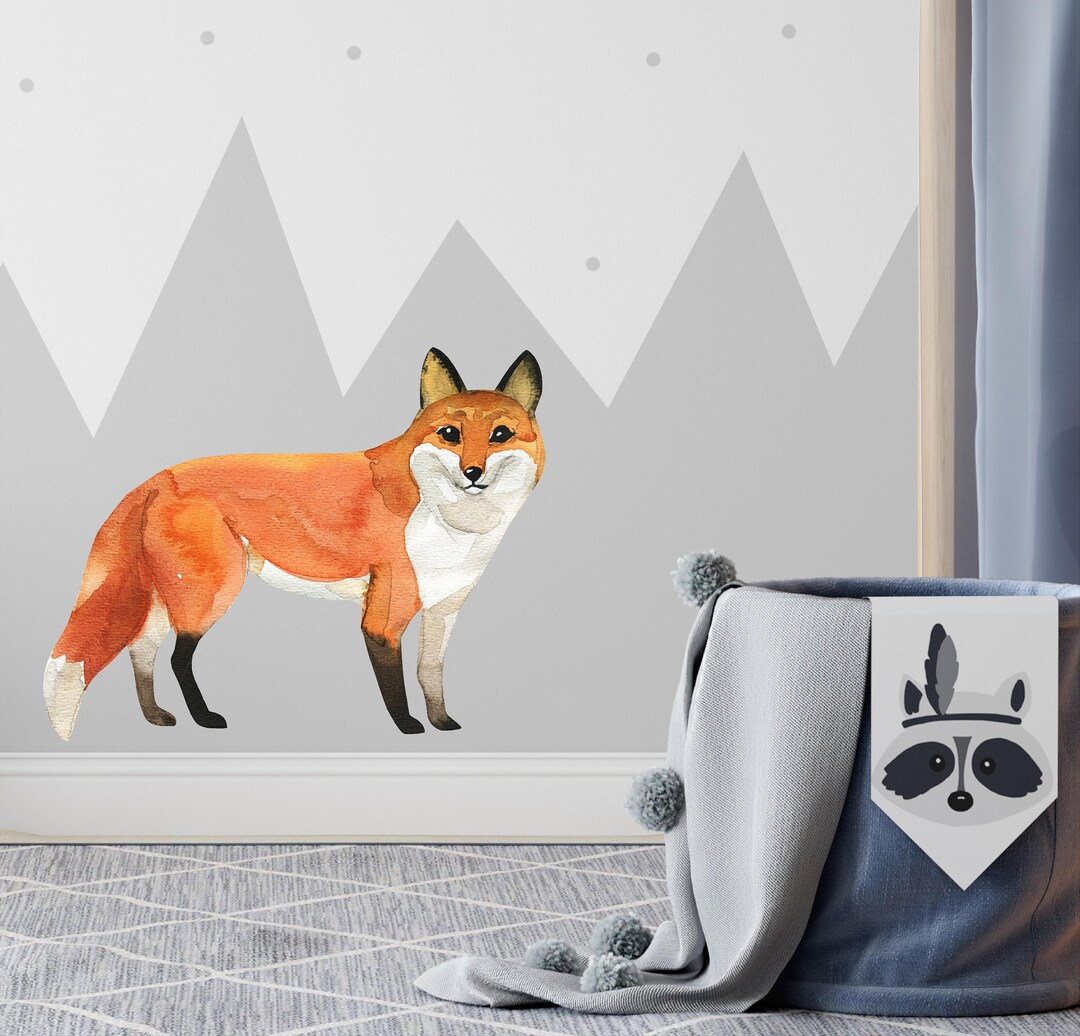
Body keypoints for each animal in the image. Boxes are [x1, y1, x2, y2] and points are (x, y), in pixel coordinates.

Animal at [43, 349, 543, 741]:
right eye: (450, 435)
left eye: (500, 435)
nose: (473, 472)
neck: (451, 527)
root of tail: (157, 478)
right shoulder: (383, 617)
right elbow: (396, 686)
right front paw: (408, 728)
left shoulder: (443, 610)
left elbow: (430, 674)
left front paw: (442, 722)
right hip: (210, 596)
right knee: (176, 659)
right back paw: (203, 718)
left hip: (169, 599)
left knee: (140, 652)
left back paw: (154, 718)